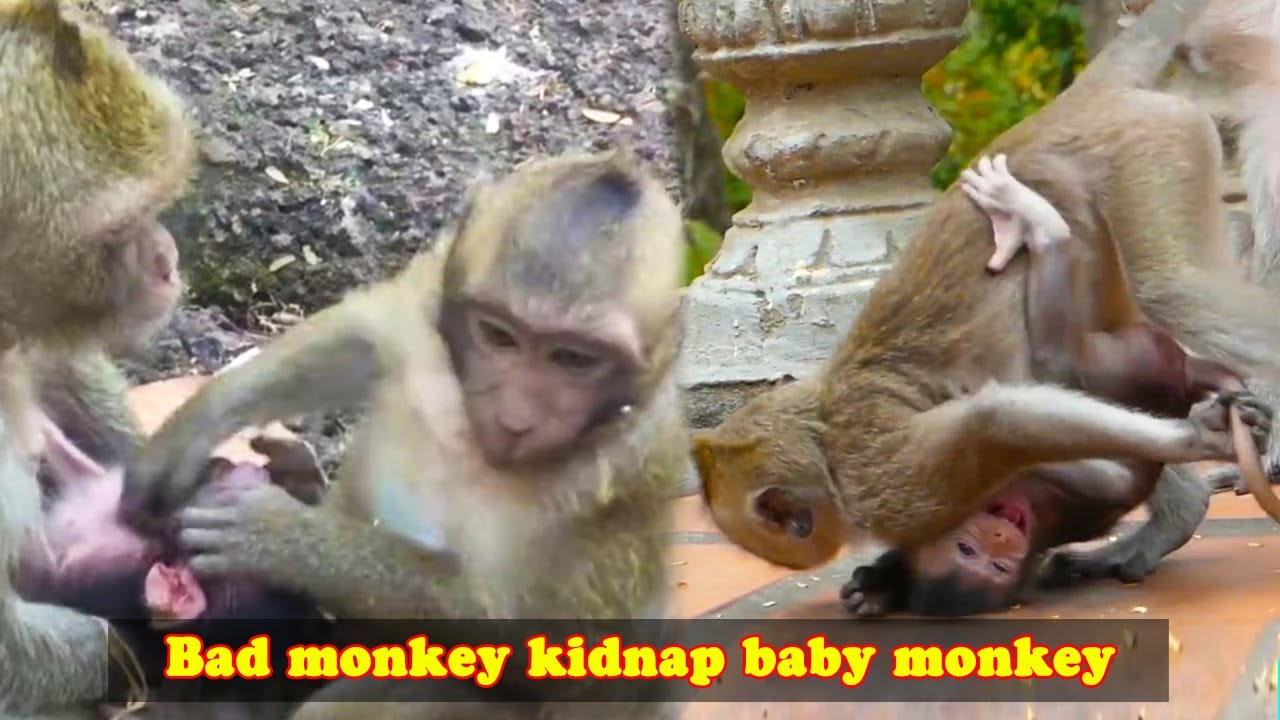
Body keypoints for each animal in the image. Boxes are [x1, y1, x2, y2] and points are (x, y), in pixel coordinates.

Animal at [113, 149, 688, 719]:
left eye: (573, 359)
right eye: (499, 336)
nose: (516, 416)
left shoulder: (622, 481)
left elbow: (555, 653)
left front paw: (283, 540)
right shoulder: (432, 301)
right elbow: (369, 333)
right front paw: (190, 432)